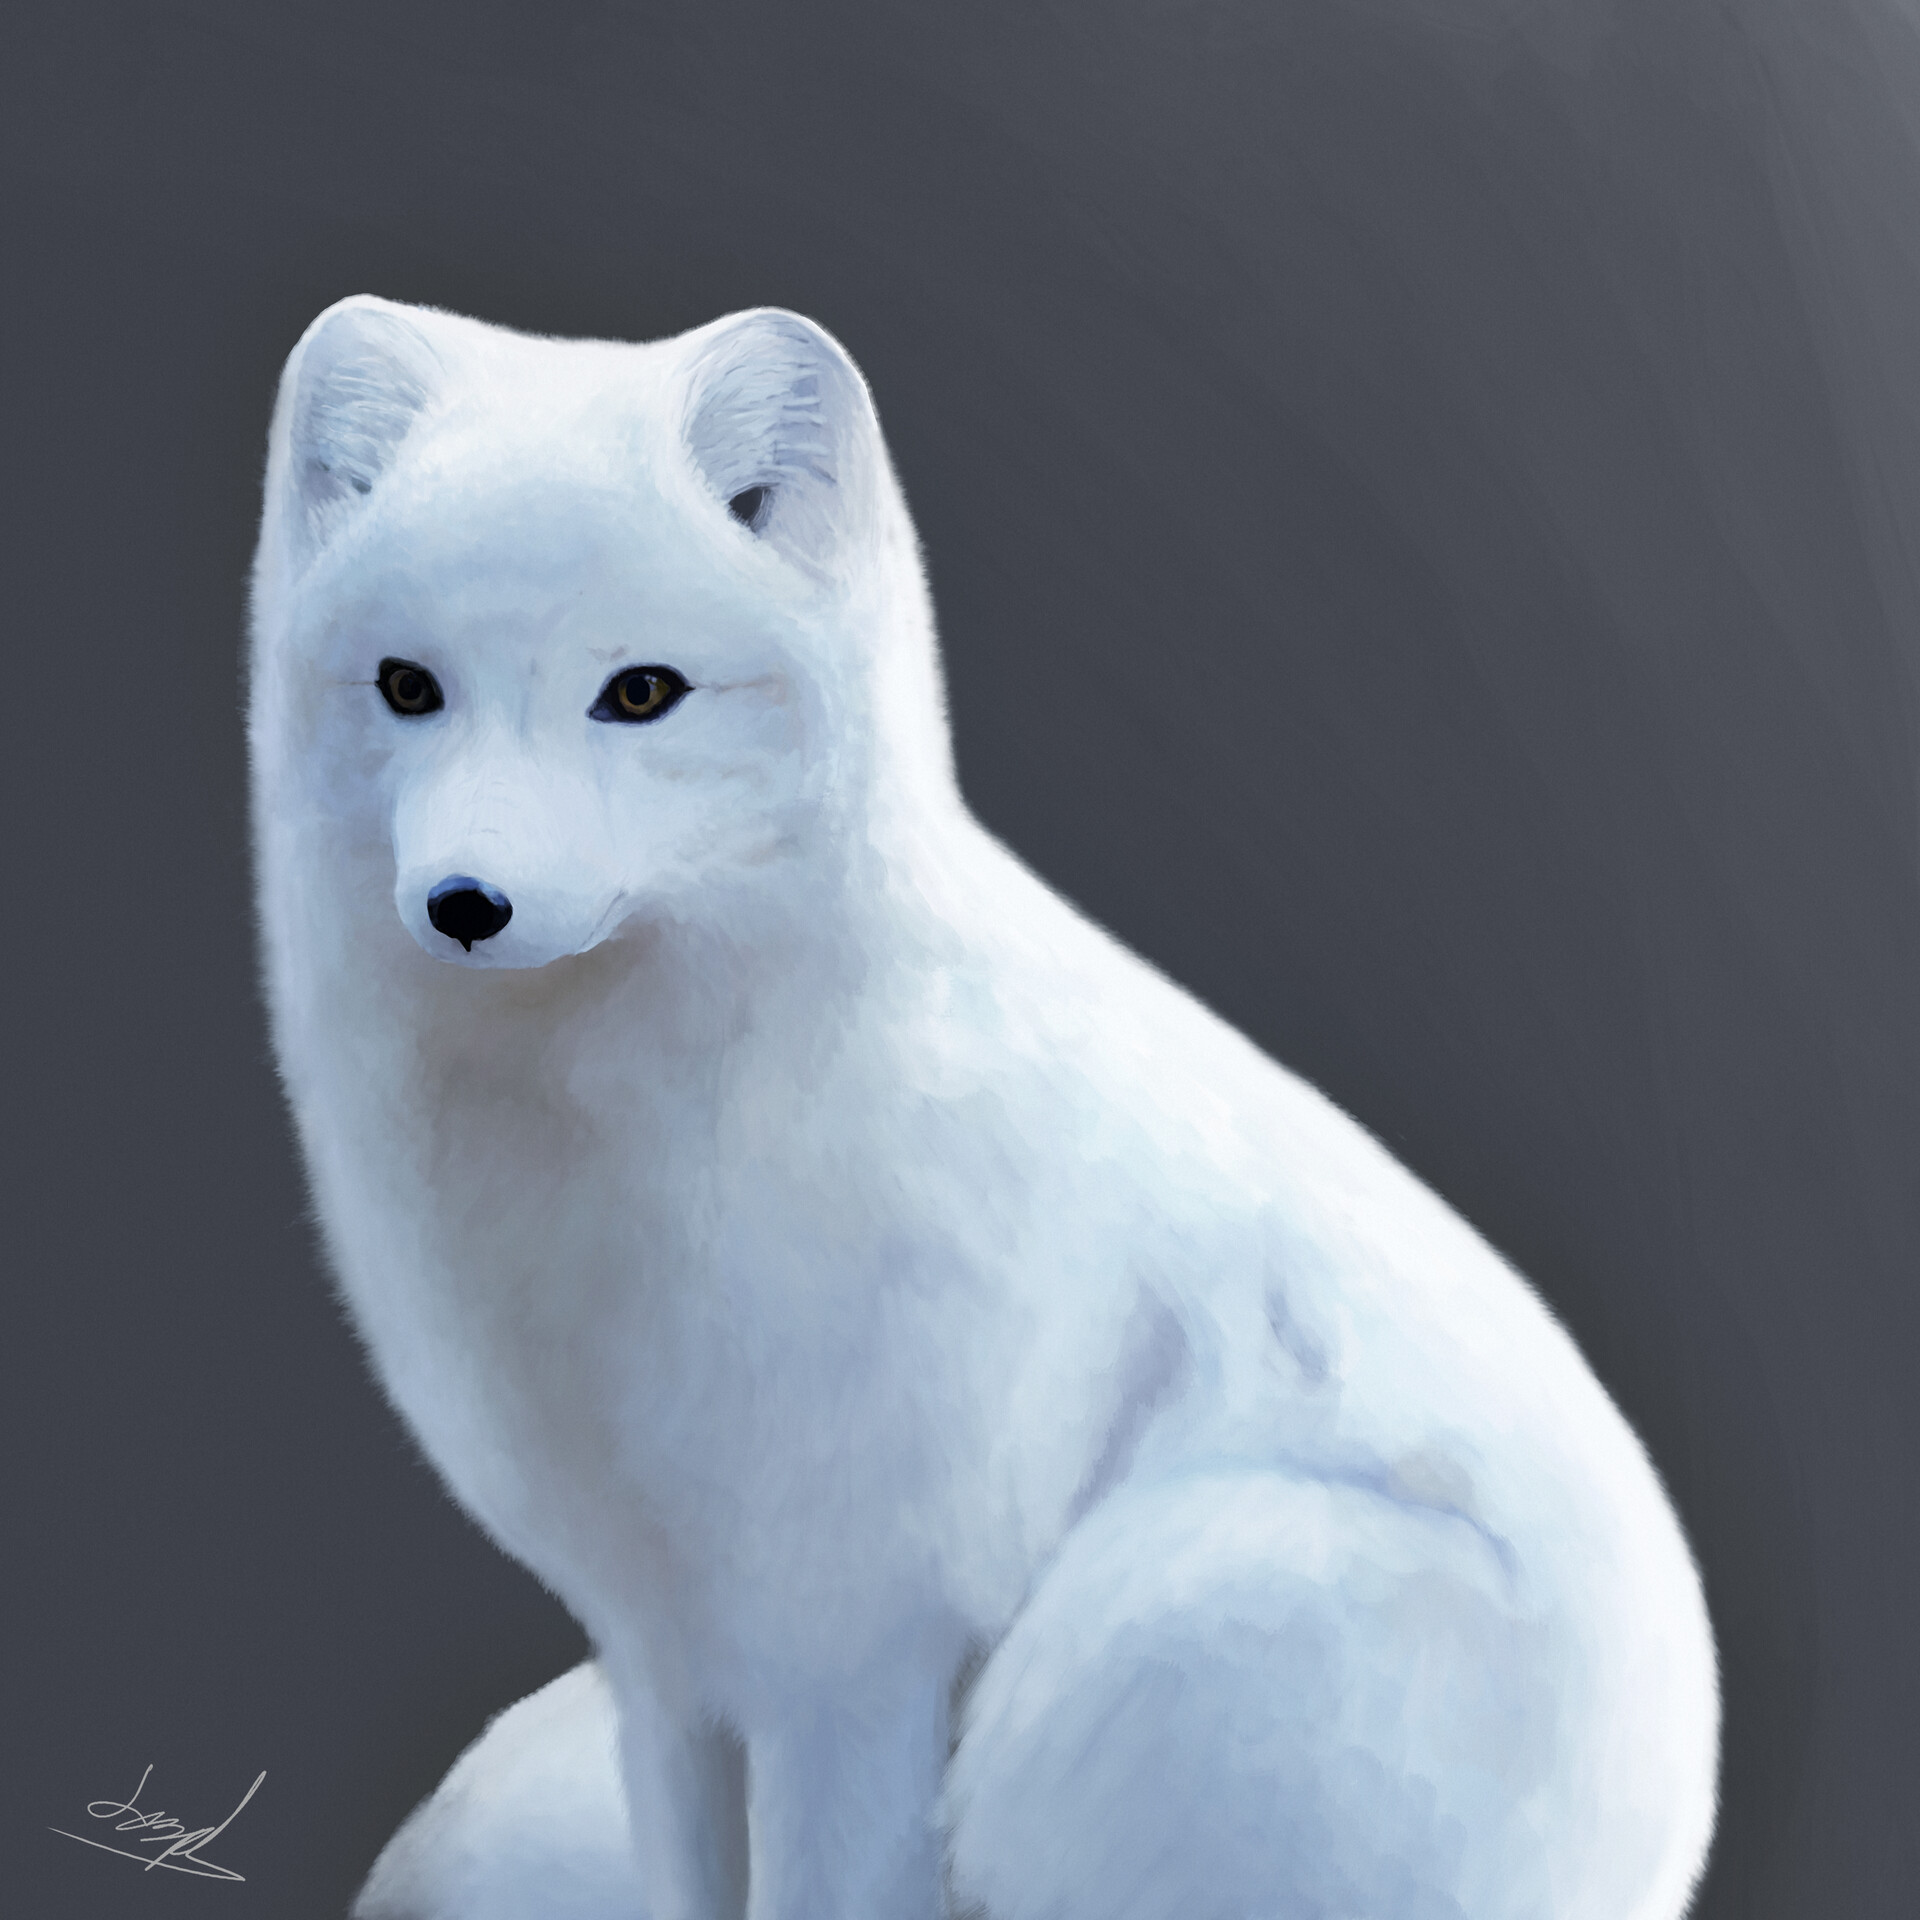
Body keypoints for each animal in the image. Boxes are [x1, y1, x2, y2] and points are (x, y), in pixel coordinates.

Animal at [249, 296, 1718, 1920]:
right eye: (407, 686)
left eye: (639, 693)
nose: (467, 904)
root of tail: (1658, 1847)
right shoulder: (667, 1659)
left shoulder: (859, 1656)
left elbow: (826, 1892)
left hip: (1116, 1659)